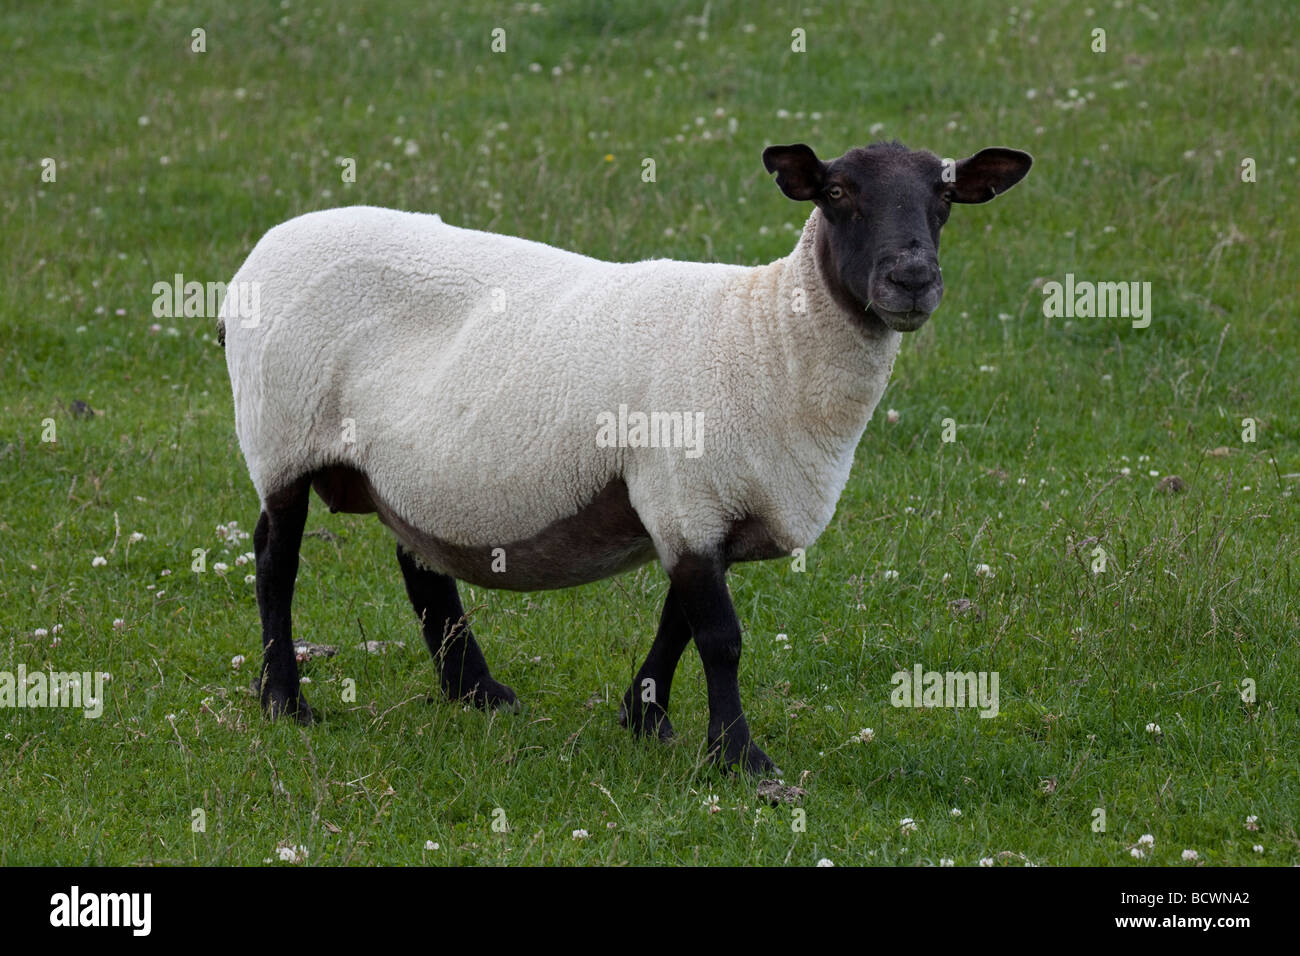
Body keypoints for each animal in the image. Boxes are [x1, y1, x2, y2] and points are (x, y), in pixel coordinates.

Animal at [220, 139, 1032, 774]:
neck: (766, 335)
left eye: (946, 196)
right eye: (836, 194)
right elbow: (720, 638)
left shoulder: (696, 504)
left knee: (421, 566)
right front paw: (739, 759)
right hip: (280, 435)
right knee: (274, 562)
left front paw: (646, 719)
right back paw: (285, 701)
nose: (911, 280)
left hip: (410, 469)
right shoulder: (685, 493)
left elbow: (678, 622)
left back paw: (477, 693)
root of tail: (261, 251)